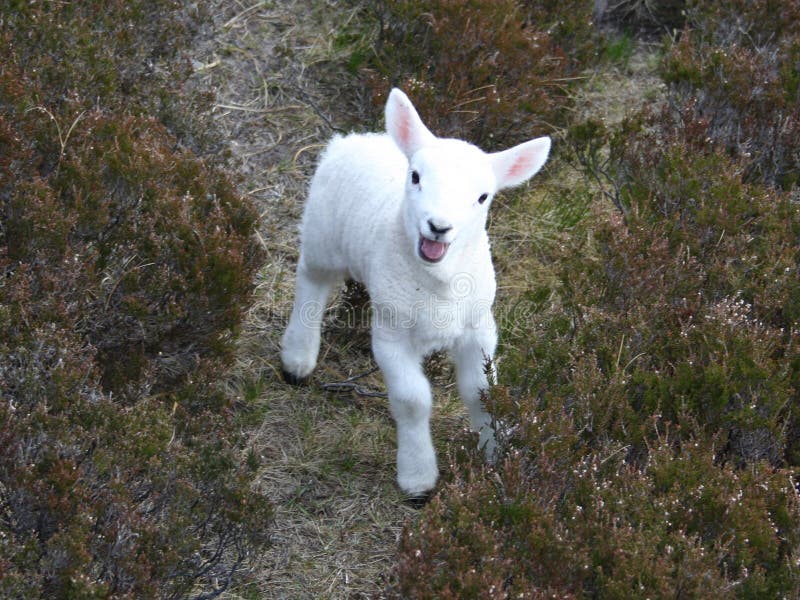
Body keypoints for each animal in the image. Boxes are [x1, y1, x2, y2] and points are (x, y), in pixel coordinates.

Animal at [280, 89, 551, 497]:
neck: (438, 282)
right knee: (310, 281)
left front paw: (498, 454)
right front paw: (418, 477)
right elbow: (412, 401)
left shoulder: (478, 328)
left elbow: (481, 393)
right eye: (416, 177)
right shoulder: (391, 335)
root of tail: (357, 137)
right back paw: (297, 358)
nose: (438, 226)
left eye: (483, 197)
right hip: (322, 234)